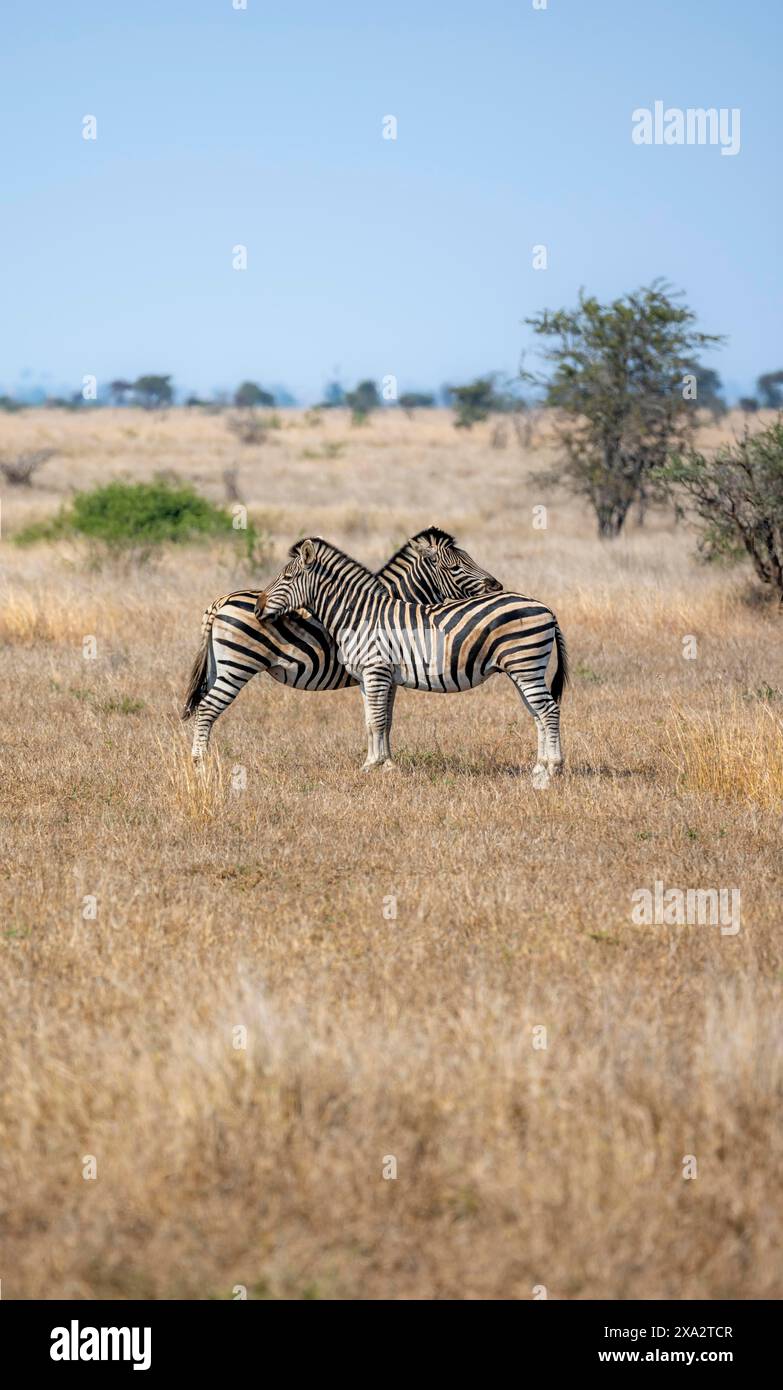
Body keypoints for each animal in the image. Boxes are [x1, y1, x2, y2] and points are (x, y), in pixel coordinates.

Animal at [181, 527, 502, 761]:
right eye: (456, 566)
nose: (497, 586)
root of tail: (220, 601)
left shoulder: (385, 675)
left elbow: (383, 718)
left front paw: (383, 759)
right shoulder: (385, 671)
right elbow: (383, 717)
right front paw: (385, 762)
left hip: (218, 666)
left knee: (203, 707)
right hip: (238, 665)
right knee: (208, 708)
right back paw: (201, 763)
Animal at [255, 537, 568, 786]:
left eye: (287, 578)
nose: (258, 607)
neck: (358, 616)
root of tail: (546, 608)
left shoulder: (377, 670)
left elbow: (378, 720)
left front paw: (375, 766)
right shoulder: (368, 675)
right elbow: (372, 720)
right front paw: (373, 763)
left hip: (526, 664)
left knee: (549, 710)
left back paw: (553, 768)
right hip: (523, 669)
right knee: (538, 713)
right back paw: (539, 768)